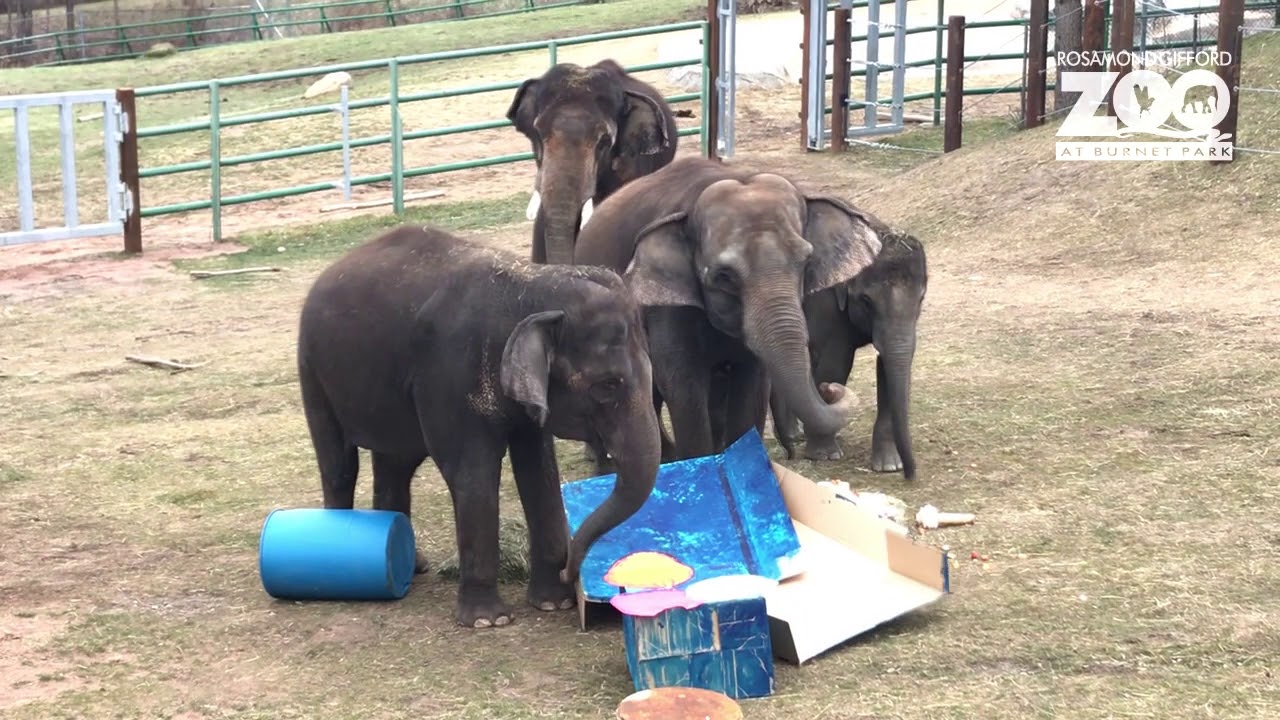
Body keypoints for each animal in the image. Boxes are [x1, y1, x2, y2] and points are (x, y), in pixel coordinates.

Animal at [295, 225, 661, 628]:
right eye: (607, 385)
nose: (571, 572)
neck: (532, 286)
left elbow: (538, 470)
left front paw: (553, 603)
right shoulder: (450, 370)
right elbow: (472, 470)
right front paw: (489, 621)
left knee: (396, 463)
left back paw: (413, 564)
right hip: (311, 368)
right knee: (339, 465)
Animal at [573, 156, 888, 463]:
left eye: (806, 261)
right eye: (723, 276)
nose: (830, 389)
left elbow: (753, 381)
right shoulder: (665, 305)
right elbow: (683, 382)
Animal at [770, 231, 927, 480]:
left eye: (921, 299)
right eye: (866, 300)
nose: (910, 475)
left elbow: (885, 366)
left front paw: (889, 466)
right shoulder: (823, 301)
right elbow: (836, 362)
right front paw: (825, 455)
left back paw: (796, 434)